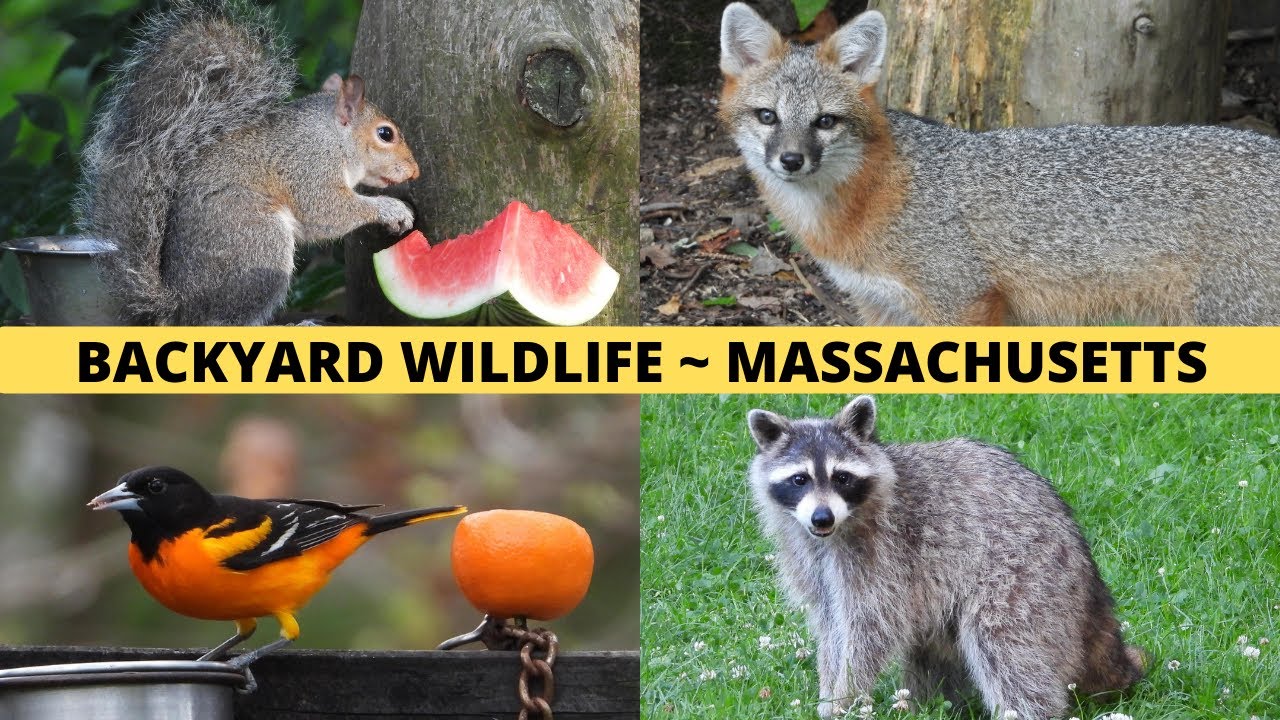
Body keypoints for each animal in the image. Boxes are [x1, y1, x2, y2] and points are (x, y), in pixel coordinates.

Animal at [77, 0, 419, 325]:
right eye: (385, 134)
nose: (414, 171)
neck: (331, 135)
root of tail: (181, 302)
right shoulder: (309, 166)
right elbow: (326, 209)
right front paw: (391, 209)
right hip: (258, 242)